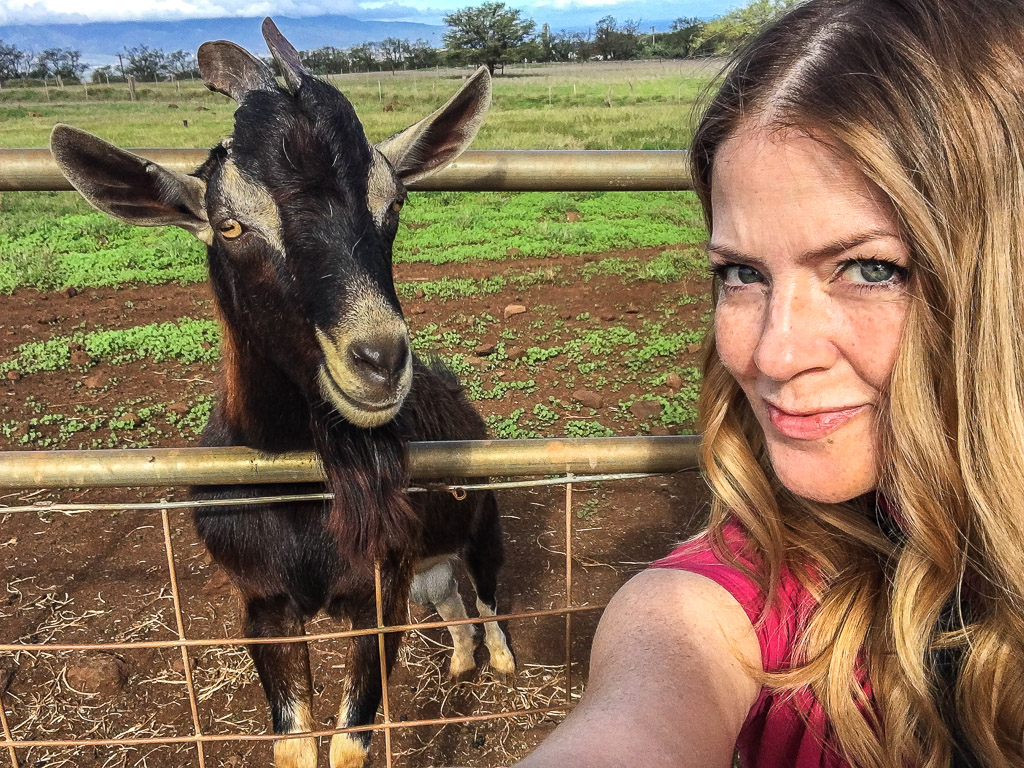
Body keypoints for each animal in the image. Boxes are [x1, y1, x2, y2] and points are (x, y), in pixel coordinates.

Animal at [50, 19, 514, 768]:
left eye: (393, 202)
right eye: (231, 224)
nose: (380, 360)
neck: (301, 489)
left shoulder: (377, 592)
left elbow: (350, 742)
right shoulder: (264, 602)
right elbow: (293, 744)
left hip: (481, 521)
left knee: (488, 593)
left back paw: (498, 659)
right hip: (427, 562)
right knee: (450, 599)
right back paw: (462, 661)